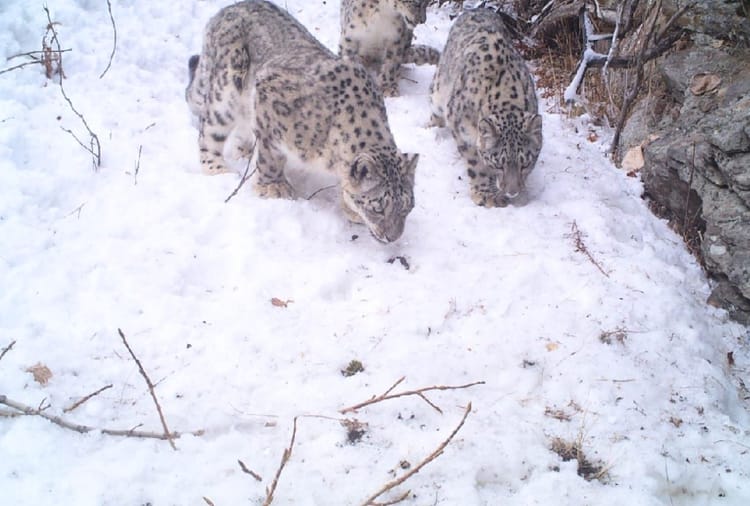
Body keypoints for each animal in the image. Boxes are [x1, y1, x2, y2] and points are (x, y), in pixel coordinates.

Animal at [185, 0, 418, 243]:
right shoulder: (269, 101)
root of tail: (228, 9)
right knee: (209, 129)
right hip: (225, 90)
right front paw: (273, 187)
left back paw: (245, 149)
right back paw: (216, 168)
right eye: (379, 207)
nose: (393, 237)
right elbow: (270, 158)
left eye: (407, 207)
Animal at [429, 8, 543, 208]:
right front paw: (485, 194)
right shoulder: (462, 130)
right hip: (439, 89)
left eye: (526, 163)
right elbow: (476, 164)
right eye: (498, 164)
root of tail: (477, 8)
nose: (512, 192)